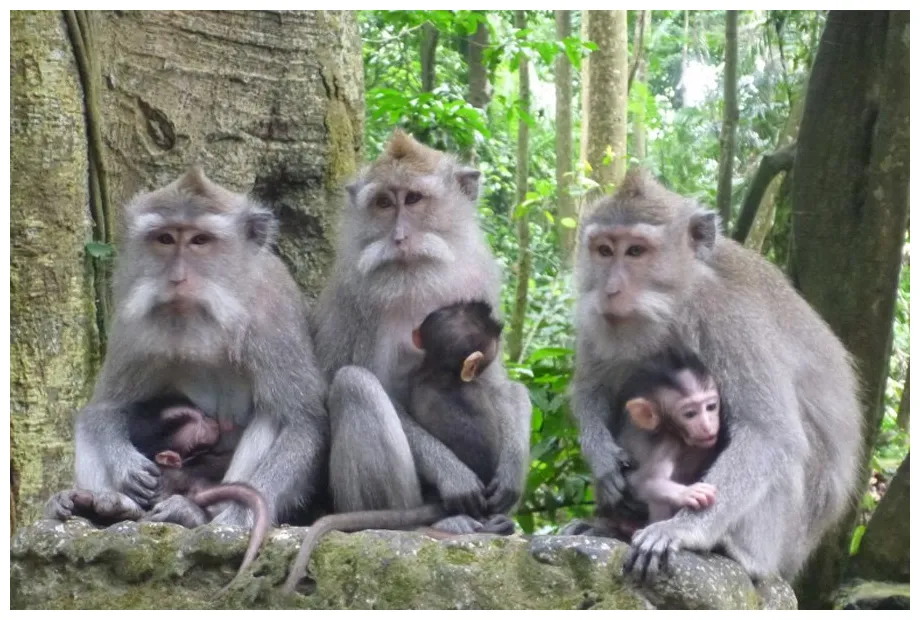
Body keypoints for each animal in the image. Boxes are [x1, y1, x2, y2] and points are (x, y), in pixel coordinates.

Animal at [44, 167, 328, 534]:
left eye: (199, 241)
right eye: (165, 239)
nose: (177, 278)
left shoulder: (275, 315)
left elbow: (301, 421)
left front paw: (237, 515)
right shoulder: (130, 320)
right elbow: (106, 408)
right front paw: (126, 466)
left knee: (272, 415)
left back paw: (195, 514)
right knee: (89, 423)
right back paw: (106, 505)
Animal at [569, 168, 862, 583]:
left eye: (636, 251)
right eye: (605, 250)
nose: (610, 290)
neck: (675, 303)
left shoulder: (729, 322)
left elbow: (770, 434)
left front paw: (683, 529)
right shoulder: (598, 321)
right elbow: (592, 388)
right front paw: (603, 459)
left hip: (792, 536)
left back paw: (743, 553)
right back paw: (610, 526)